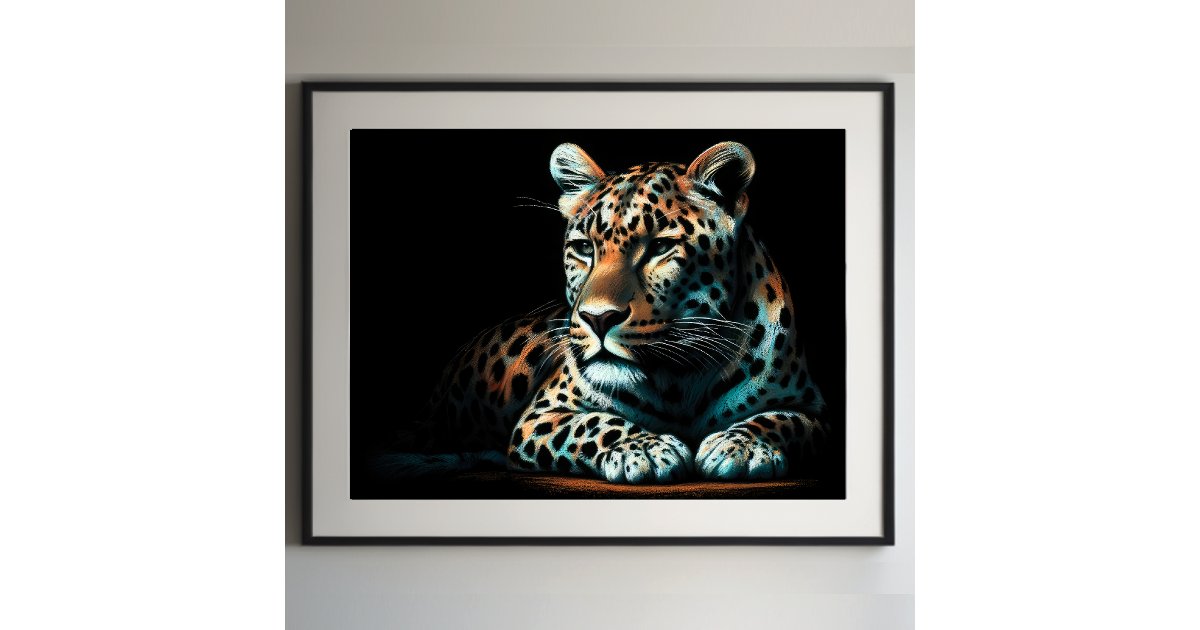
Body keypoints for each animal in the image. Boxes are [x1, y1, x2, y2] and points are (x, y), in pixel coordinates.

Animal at [376, 141, 827, 484]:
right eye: (583, 248)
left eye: (660, 247)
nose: (598, 319)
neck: (680, 382)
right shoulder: (540, 416)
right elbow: (593, 423)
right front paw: (645, 448)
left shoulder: (815, 412)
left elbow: (783, 419)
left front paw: (743, 445)